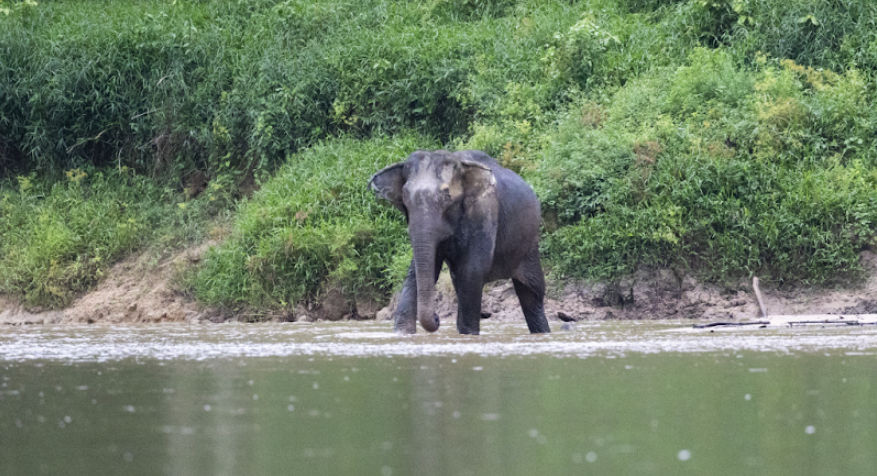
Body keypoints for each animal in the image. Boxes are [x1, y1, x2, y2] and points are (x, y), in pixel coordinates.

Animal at [368, 149, 550, 335]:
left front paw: (468, 334)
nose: (437, 318)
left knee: (532, 293)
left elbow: (472, 271)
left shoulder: (484, 213)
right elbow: (421, 271)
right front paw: (402, 333)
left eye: (446, 195)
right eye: (404, 196)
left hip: (530, 243)